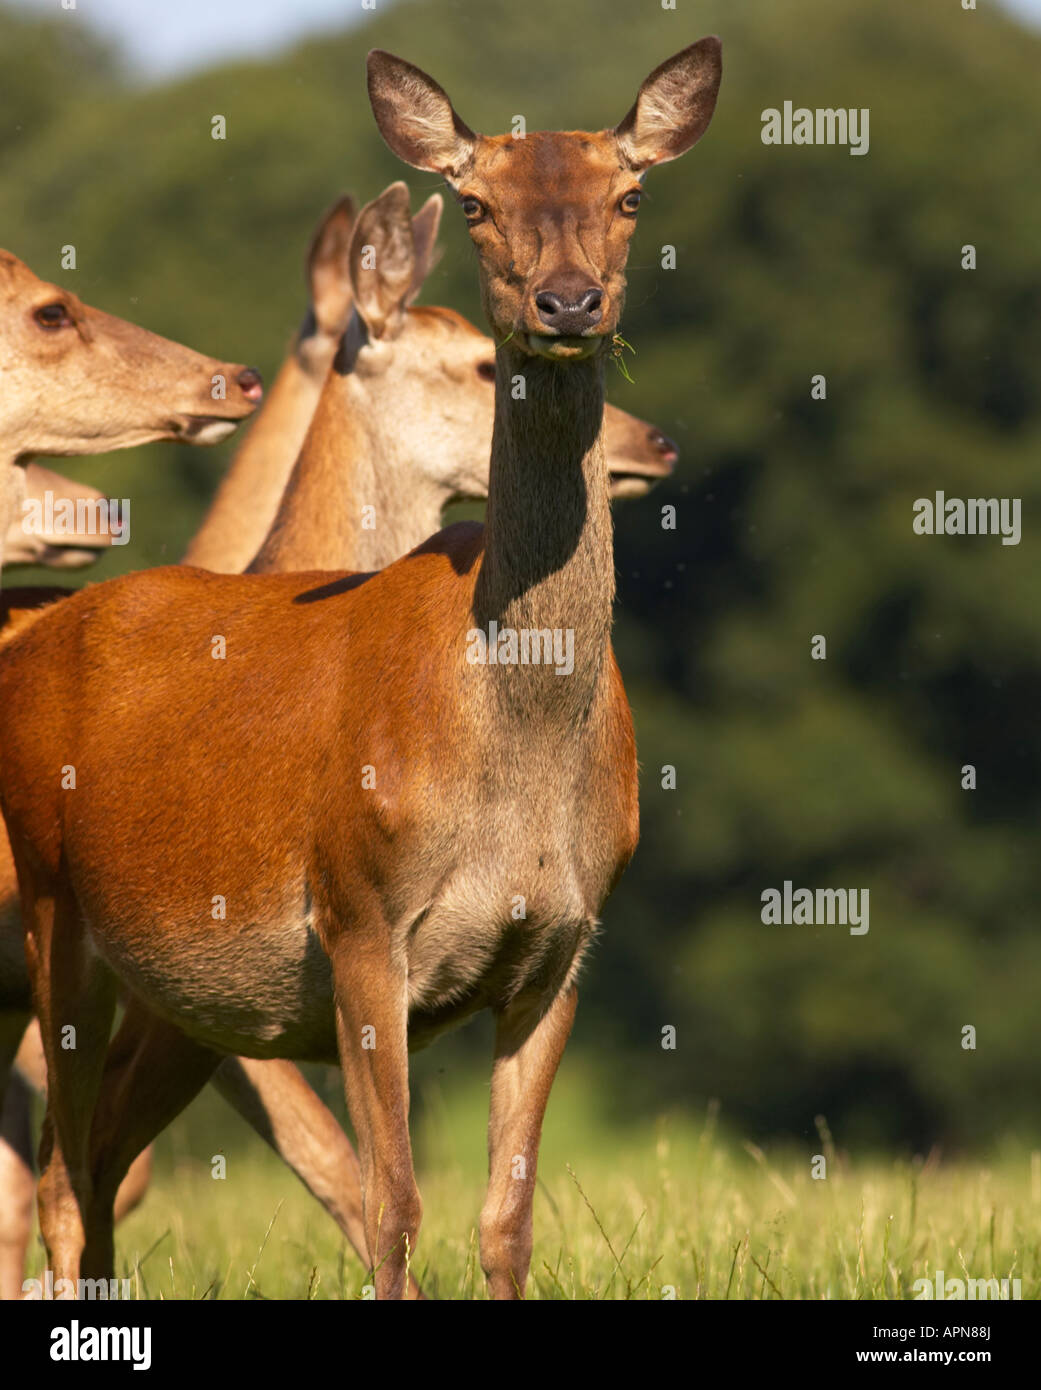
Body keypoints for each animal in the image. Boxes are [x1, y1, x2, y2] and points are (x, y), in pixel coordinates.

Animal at [0, 41, 720, 1299]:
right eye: (476, 202)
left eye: (631, 195)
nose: (568, 303)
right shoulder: (359, 922)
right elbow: (389, 1203)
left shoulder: (565, 948)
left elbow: (506, 1218)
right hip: (57, 916)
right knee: (61, 1179)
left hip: (184, 1002)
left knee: (91, 1167)